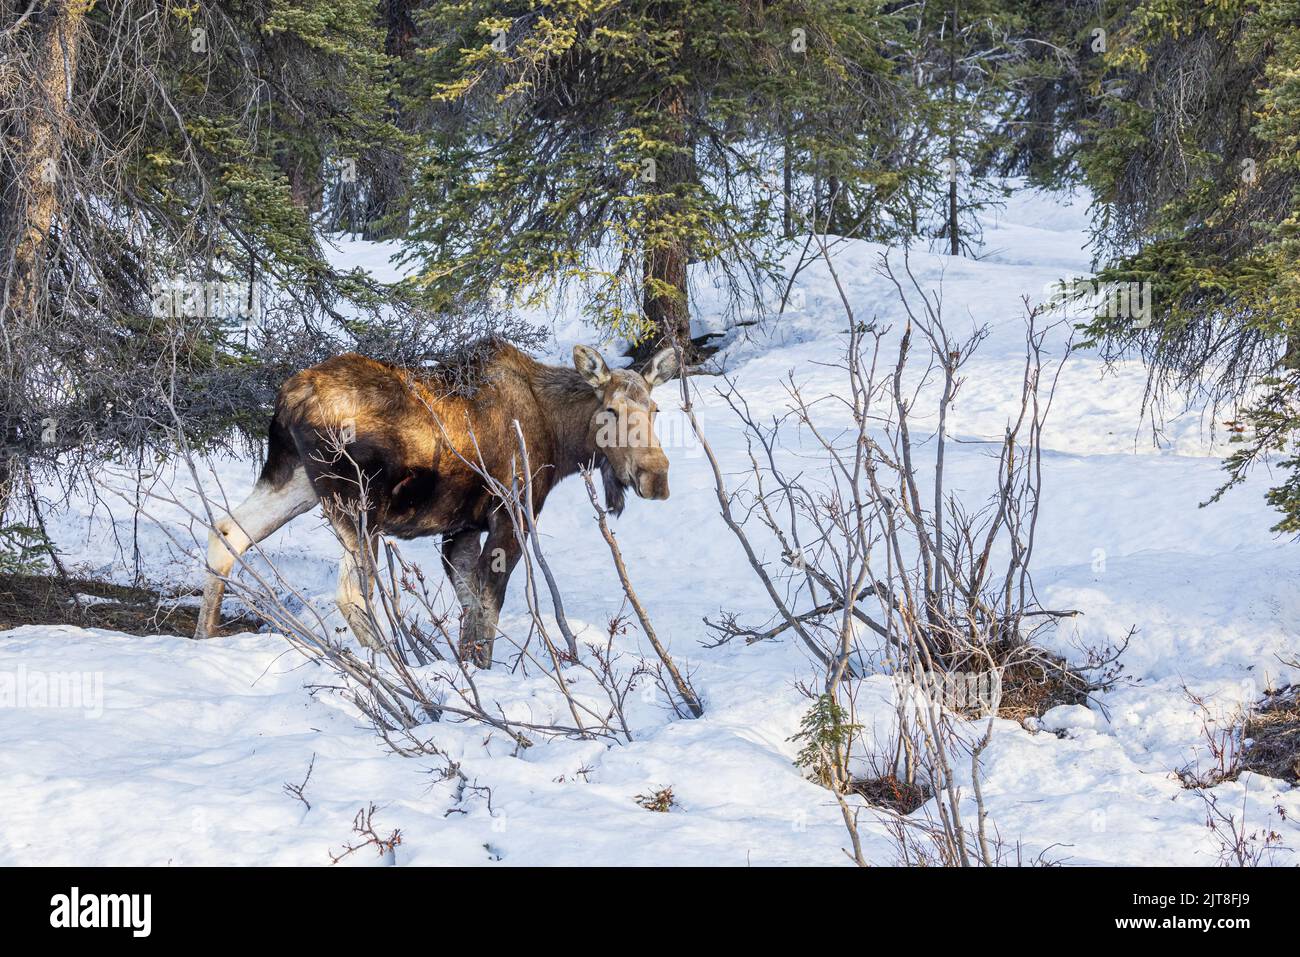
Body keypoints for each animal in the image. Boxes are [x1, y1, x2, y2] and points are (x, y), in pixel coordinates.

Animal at [193, 340, 679, 667]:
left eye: (655, 411)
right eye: (611, 411)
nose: (656, 477)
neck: (560, 440)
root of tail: (290, 398)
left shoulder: (459, 529)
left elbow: (470, 606)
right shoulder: (510, 514)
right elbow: (488, 605)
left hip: (293, 479)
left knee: (227, 532)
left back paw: (204, 638)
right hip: (357, 503)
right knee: (353, 592)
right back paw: (400, 666)